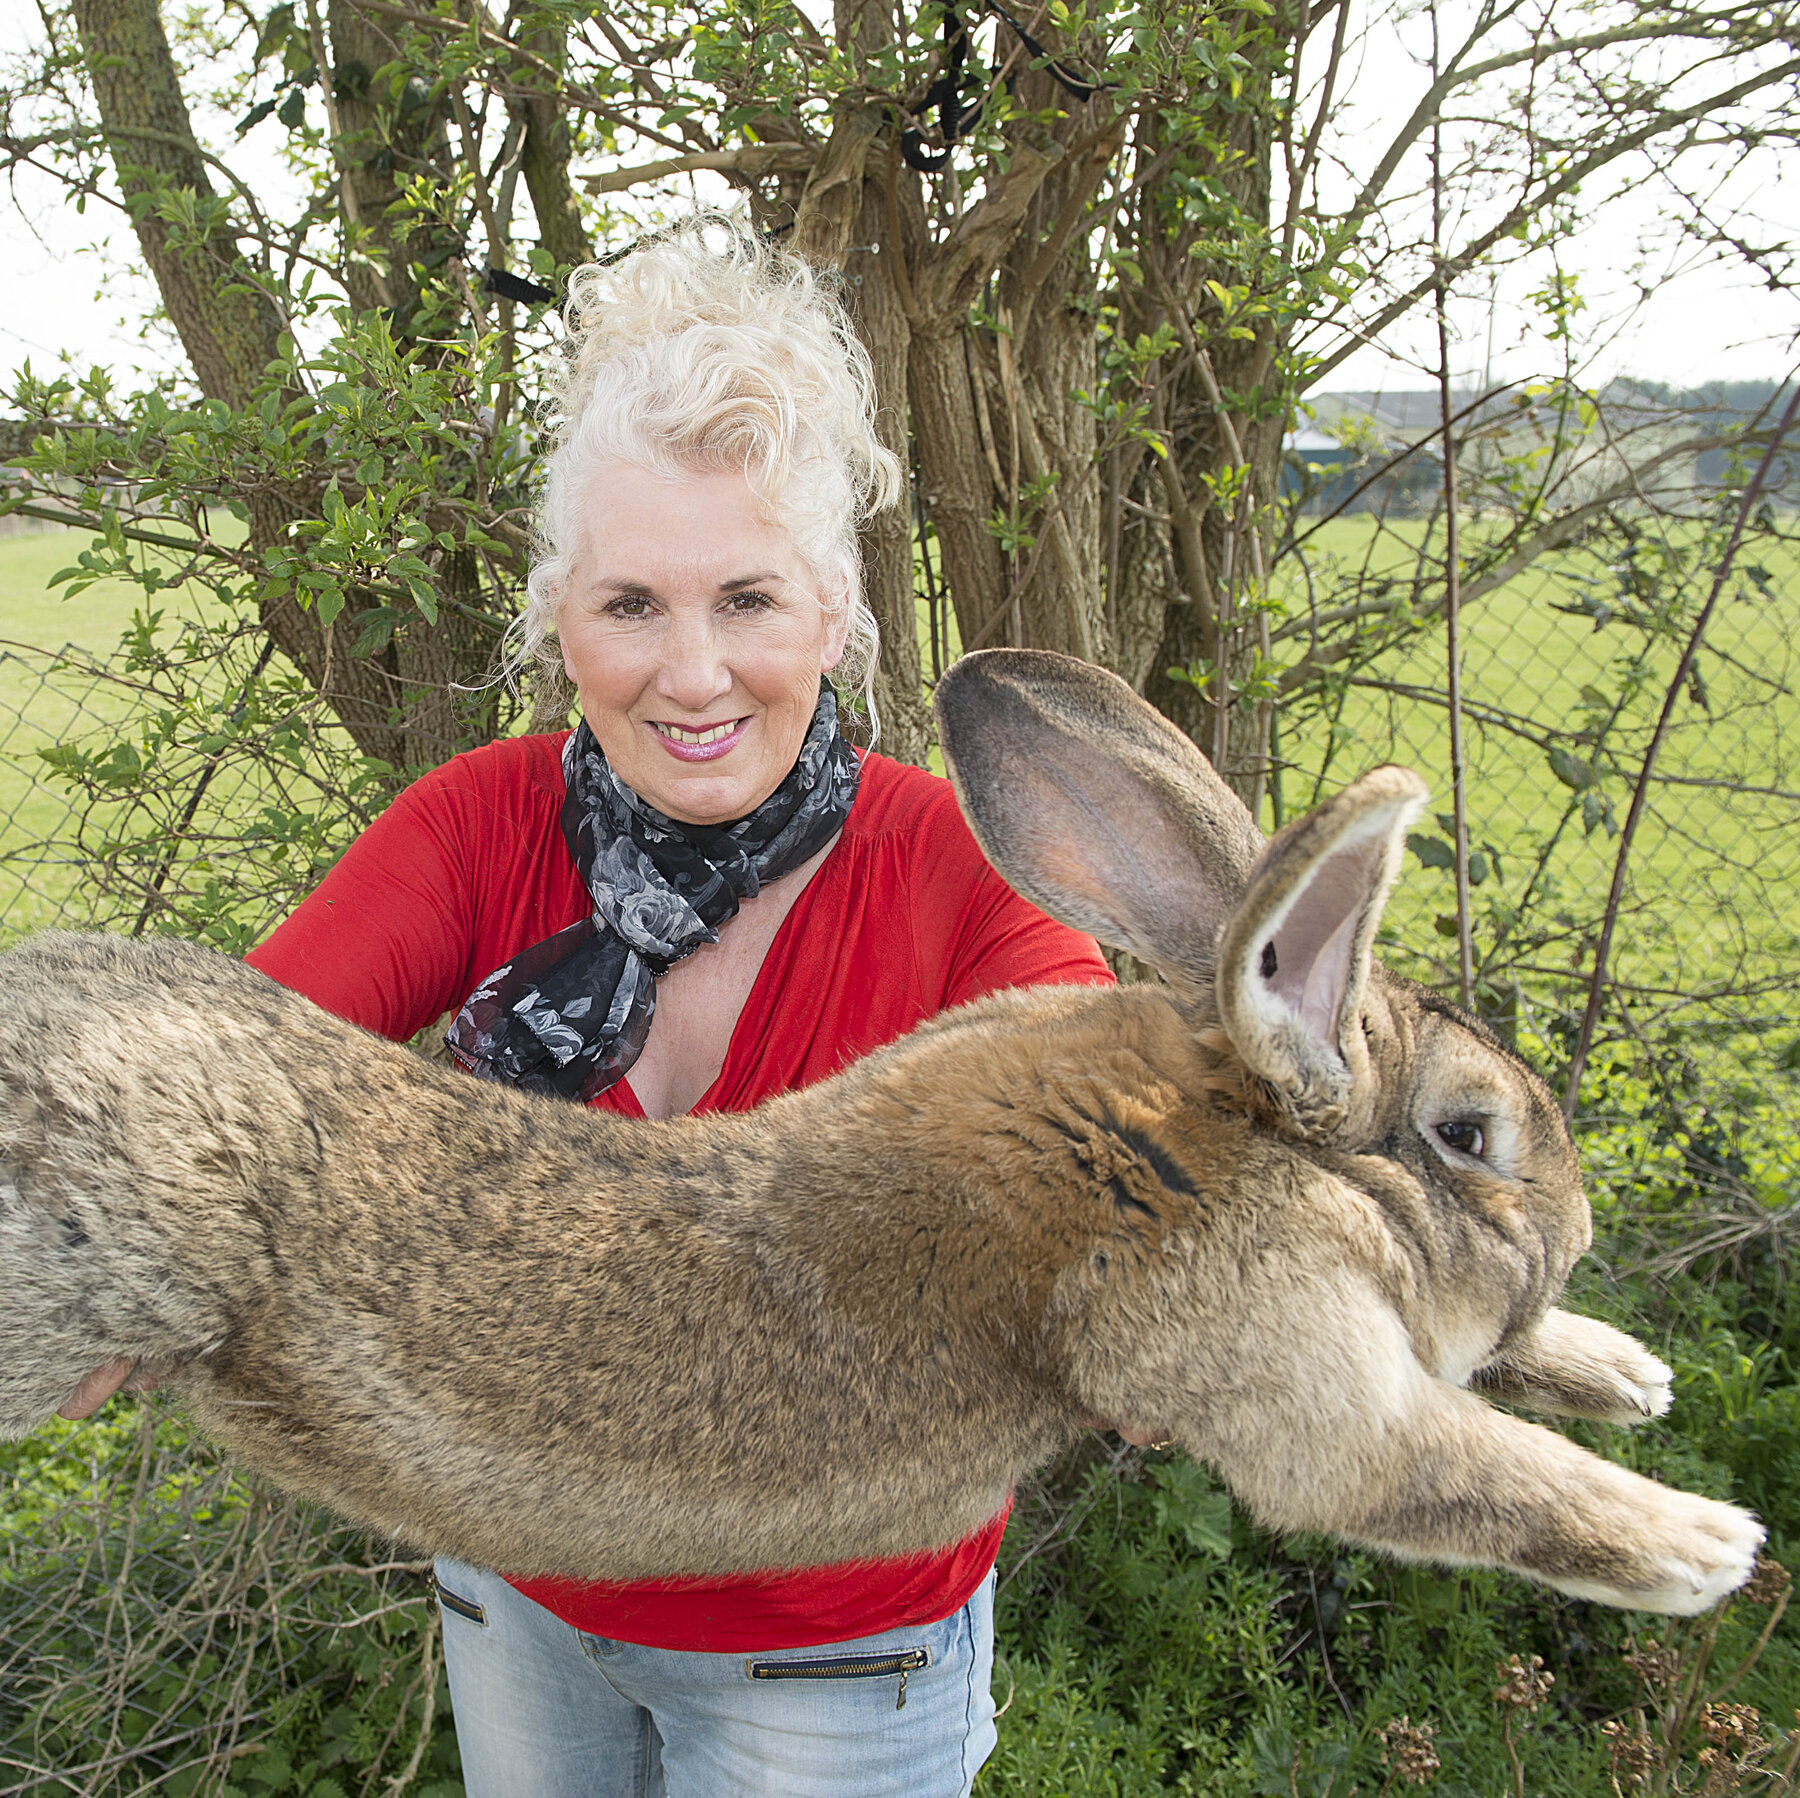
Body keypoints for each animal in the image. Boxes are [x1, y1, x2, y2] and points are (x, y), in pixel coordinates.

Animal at [0, 648, 1762, 1616]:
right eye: (1472, 1133)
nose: (1582, 1227)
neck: (1237, 1129)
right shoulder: (1280, 1357)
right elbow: (1456, 1465)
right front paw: (1705, 1544)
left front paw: (1625, 1371)